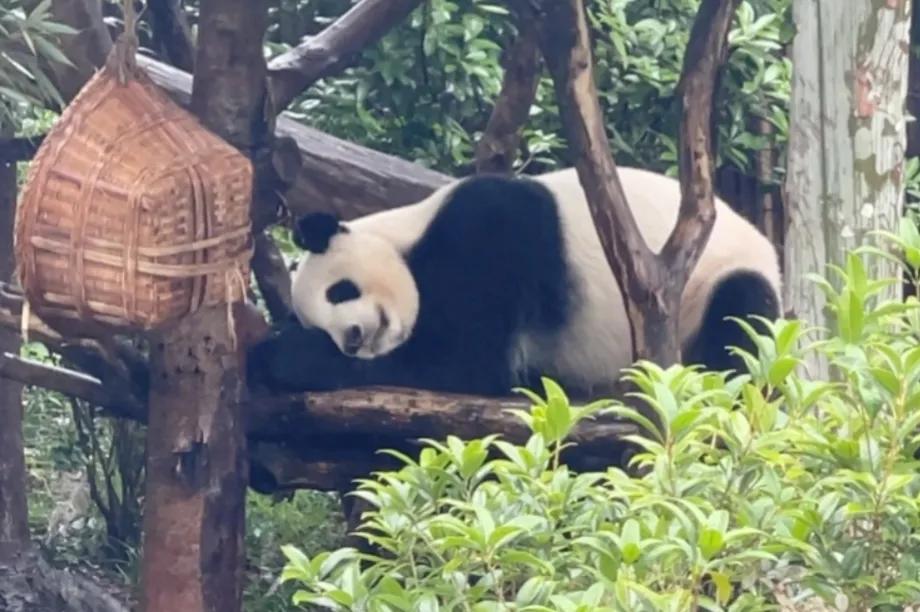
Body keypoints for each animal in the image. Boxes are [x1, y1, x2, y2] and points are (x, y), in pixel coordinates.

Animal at [246, 166, 782, 399]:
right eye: (321, 323)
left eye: (340, 290)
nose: (354, 340)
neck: (408, 236)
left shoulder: (495, 235)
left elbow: (467, 363)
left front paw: (285, 357)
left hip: (713, 285)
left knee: (743, 309)